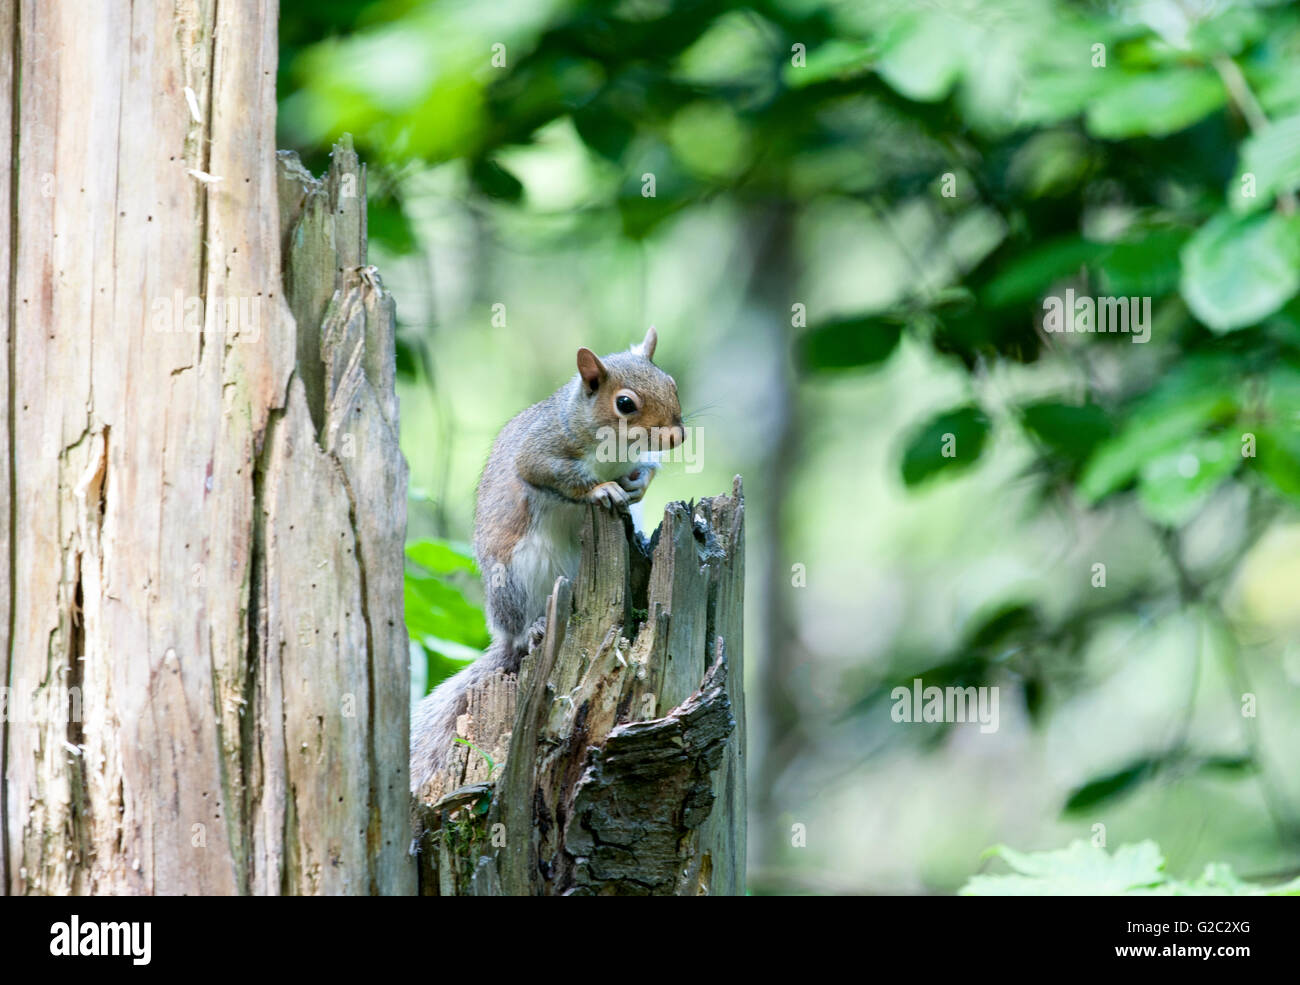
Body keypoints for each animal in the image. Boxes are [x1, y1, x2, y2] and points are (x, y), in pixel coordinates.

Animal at [410, 326, 683, 794]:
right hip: (514, 581)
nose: (677, 437)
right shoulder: (542, 450)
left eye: (671, 384)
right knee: (520, 630)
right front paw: (601, 490)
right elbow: (554, 474)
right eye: (625, 404)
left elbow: (643, 472)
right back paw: (534, 628)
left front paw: (637, 484)